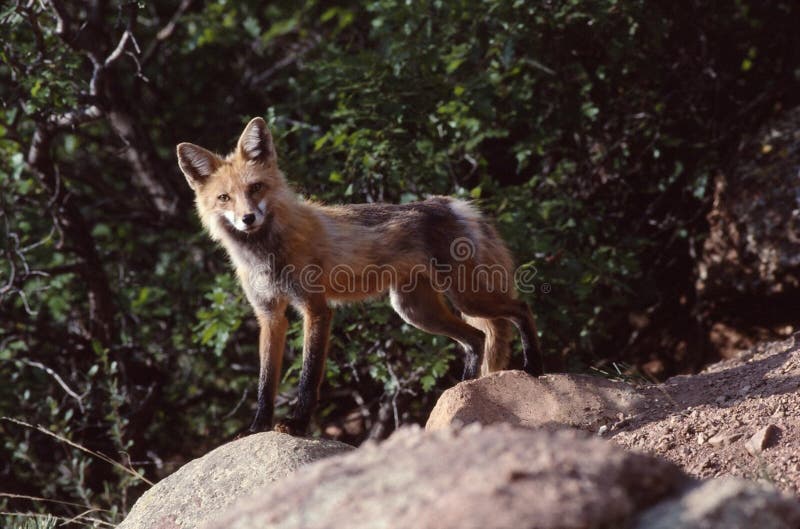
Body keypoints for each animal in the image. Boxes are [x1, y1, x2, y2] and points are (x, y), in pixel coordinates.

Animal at [176, 117, 542, 435]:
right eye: (224, 198)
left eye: (255, 188)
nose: (248, 219)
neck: (265, 254)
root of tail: (451, 204)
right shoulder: (269, 315)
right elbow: (266, 383)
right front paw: (257, 428)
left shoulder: (315, 309)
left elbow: (309, 377)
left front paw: (297, 424)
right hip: (416, 311)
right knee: (476, 338)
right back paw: (461, 391)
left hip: (465, 298)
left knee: (520, 309)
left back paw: (534, 367)